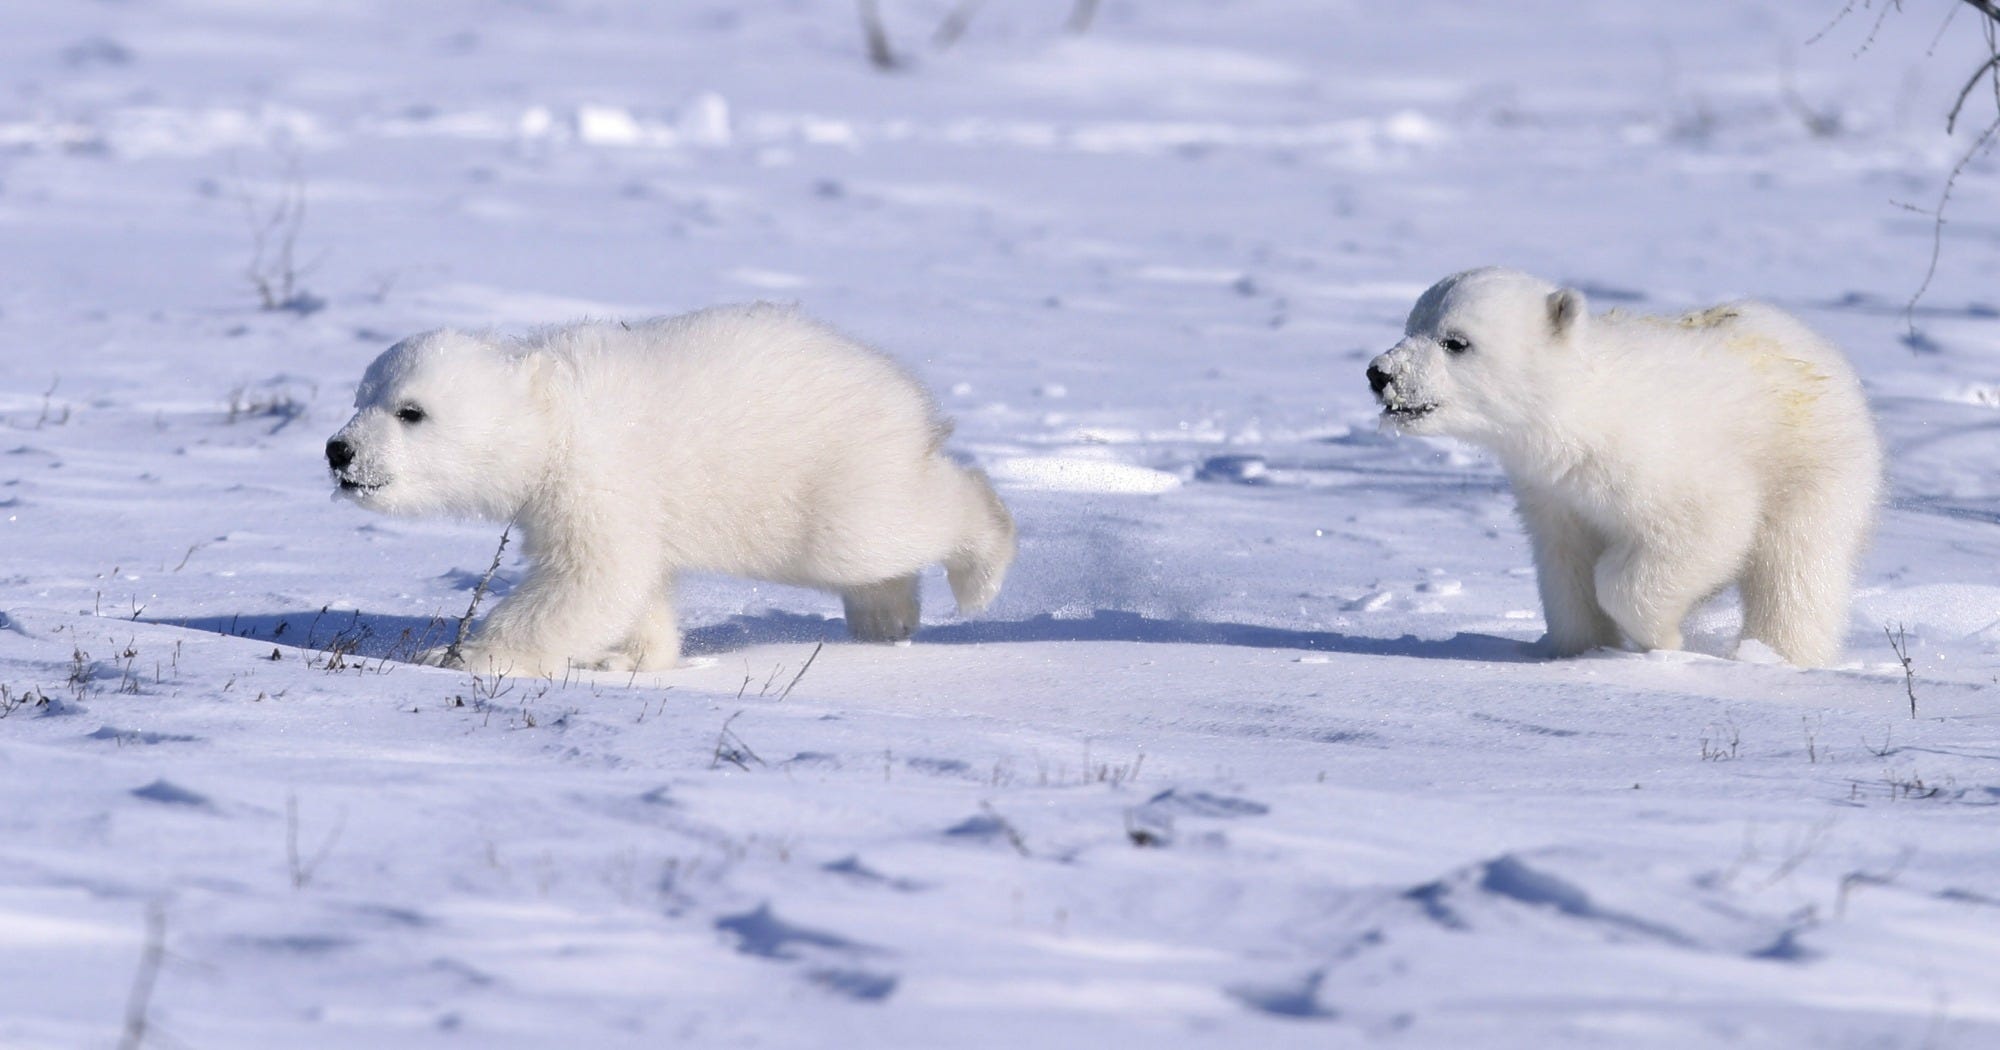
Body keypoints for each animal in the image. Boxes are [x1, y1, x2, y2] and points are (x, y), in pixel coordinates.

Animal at [325, 303, 1017, 677]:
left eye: (411, 411)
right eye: (360, 397)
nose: (339, 451)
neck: (551, 415)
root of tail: (907, 395)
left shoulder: (599, 474)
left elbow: (592, 577)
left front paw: (458, 656)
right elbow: (638, 585)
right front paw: (627, 660)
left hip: (827, 469)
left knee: (873, 530)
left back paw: (982, 568)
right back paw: (885, 617)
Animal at [1366, 267, 1882, 667]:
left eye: (1456, 341)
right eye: (1410, 324)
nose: (1380, 373)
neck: (1586, 416)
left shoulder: (1665, 460)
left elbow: (1702, 531)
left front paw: (1665, 638)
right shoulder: (1554, 494)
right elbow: (1566, 567)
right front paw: (1579, 648)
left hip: (1810, 460)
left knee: (1796, 569)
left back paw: (1776, 656)